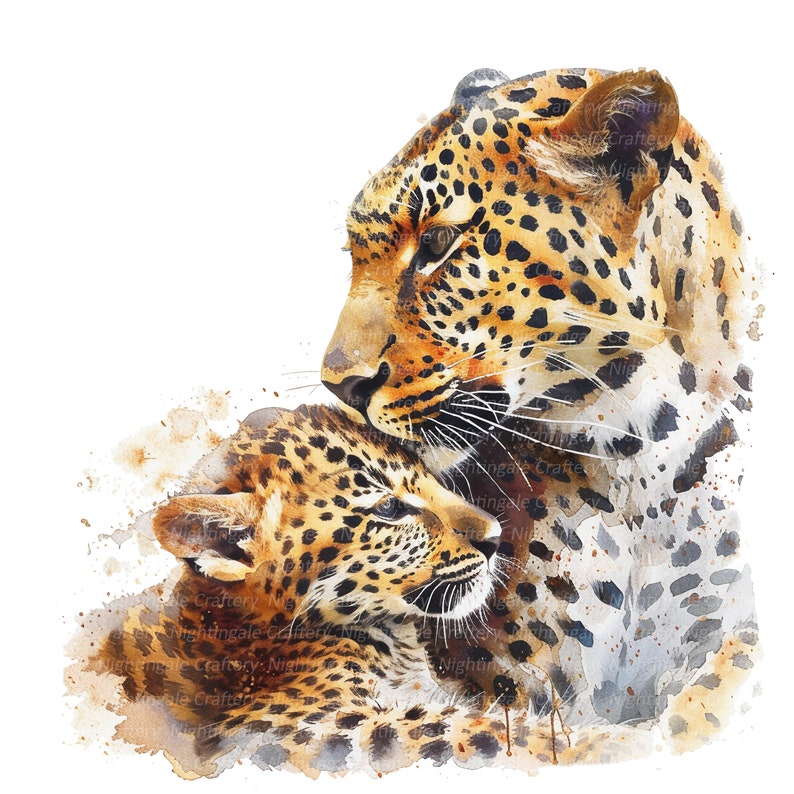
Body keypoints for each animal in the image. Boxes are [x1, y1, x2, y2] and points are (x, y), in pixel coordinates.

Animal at [320, 67, 760, 737]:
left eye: (439, 243)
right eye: (353, 257)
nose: (338, 384)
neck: (642, 461)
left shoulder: (724, 633)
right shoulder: (518, 694)